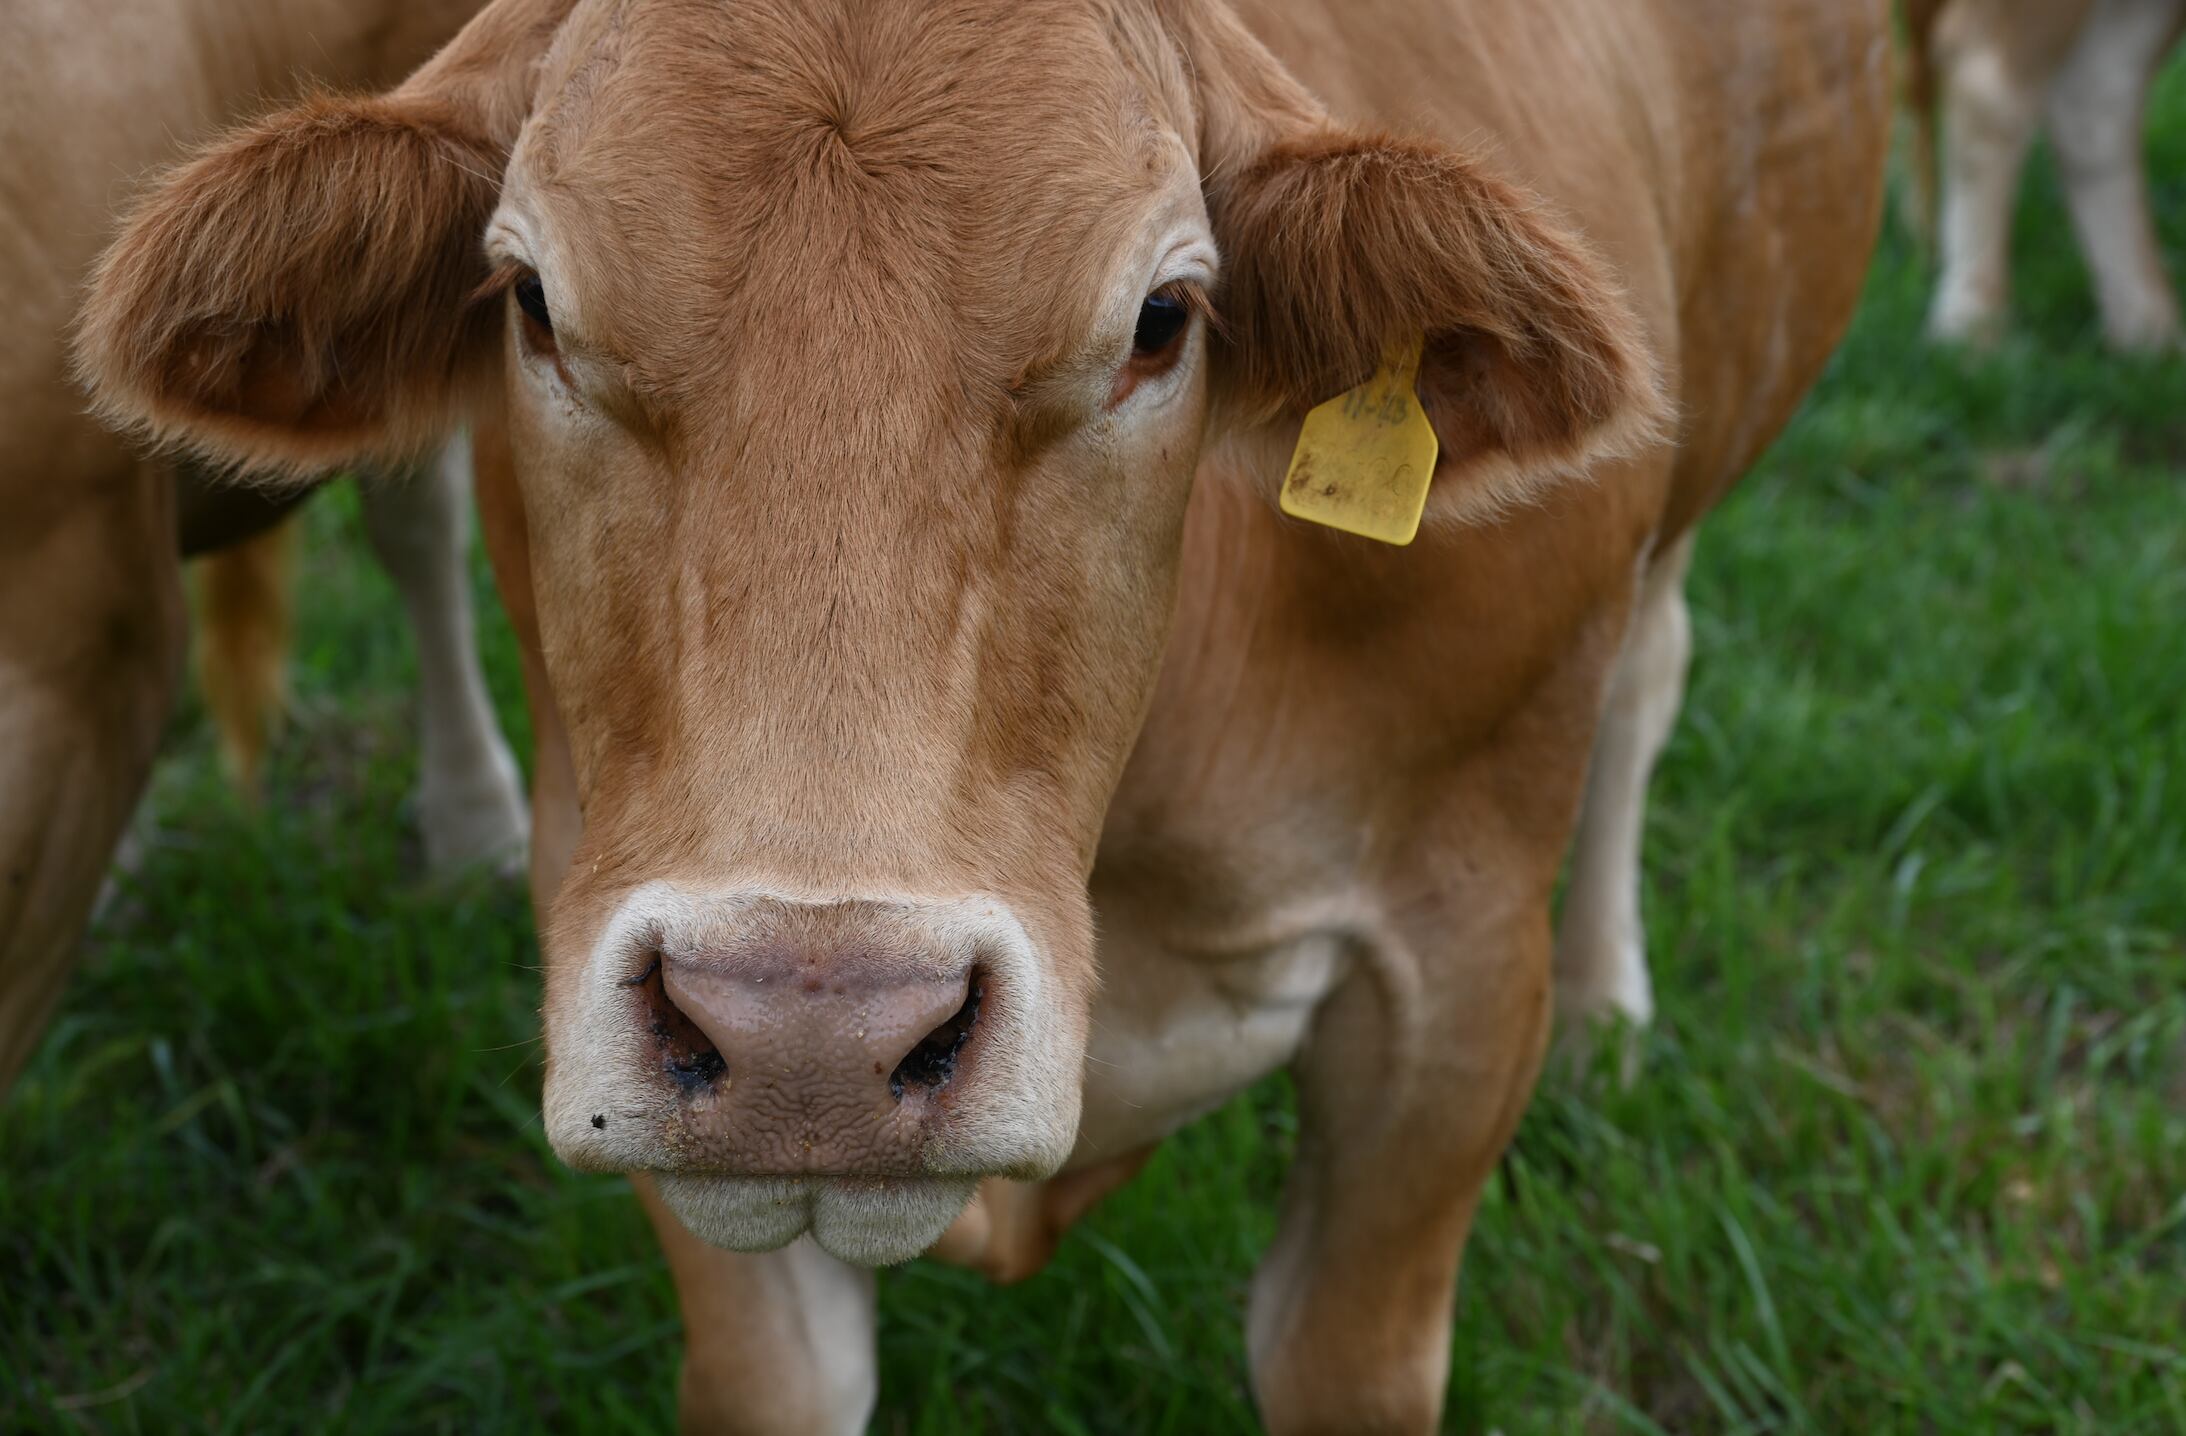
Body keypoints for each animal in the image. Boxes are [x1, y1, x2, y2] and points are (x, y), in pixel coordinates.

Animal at [72, 0, 1890, 1428]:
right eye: (530, 302)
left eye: (1160, 318)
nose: (813, 1028)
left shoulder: (1447, 982)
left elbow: (1343, 1356)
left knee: (1649, 678)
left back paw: (1609, 1010)